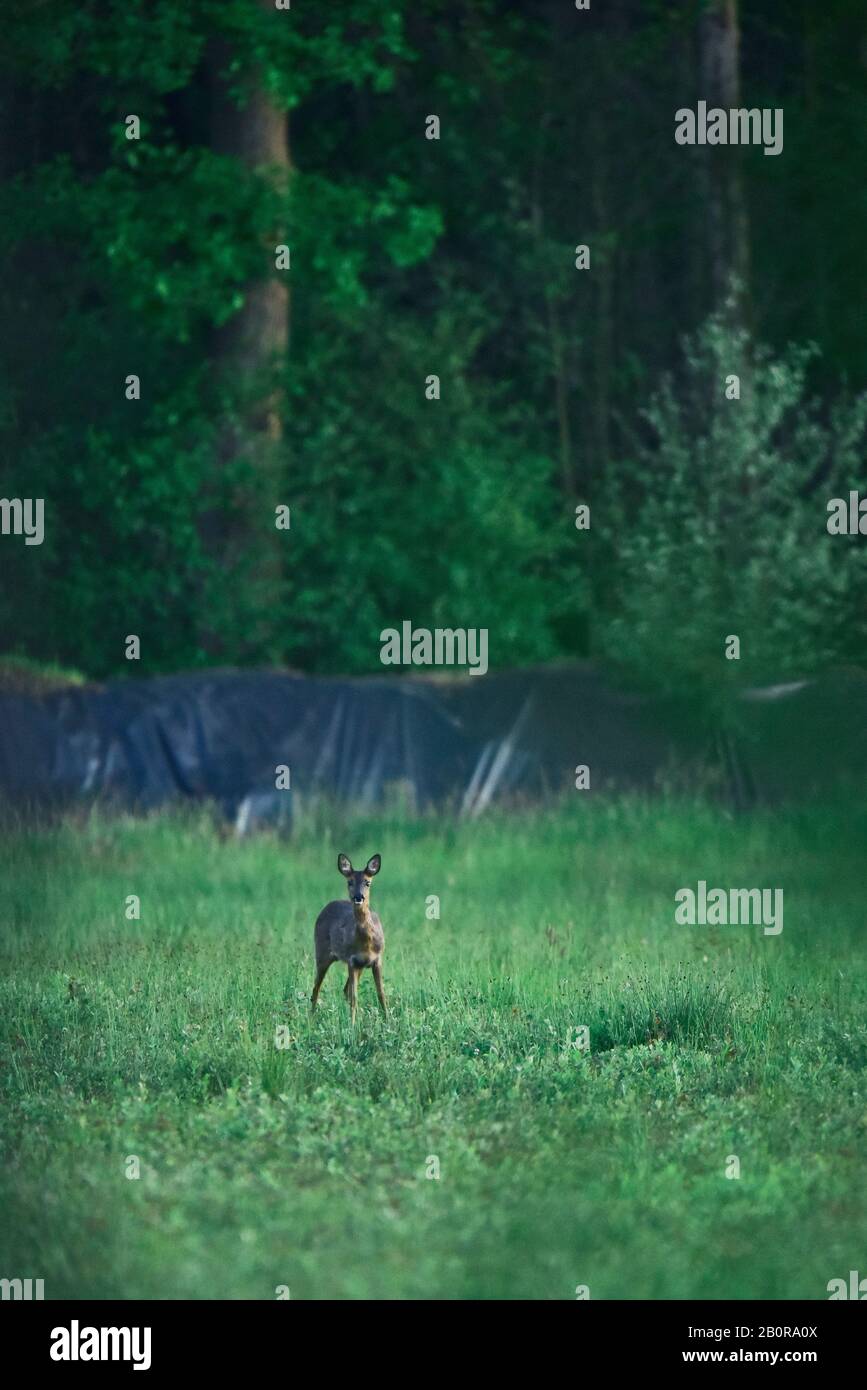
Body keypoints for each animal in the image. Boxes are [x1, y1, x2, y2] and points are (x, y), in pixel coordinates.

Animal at [310, 854, 387, 1023]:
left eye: (367, 882)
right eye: (349, 882)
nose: (359, 897)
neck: (367, 942)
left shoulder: (376, 960)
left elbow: (381, 995)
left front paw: (389, 1021)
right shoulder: (352, 960)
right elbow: (355, 997)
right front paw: (352, 1025)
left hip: (359, 966)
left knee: (344, 990)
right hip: (322, 953)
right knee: (316, 989)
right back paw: (310, 1018)